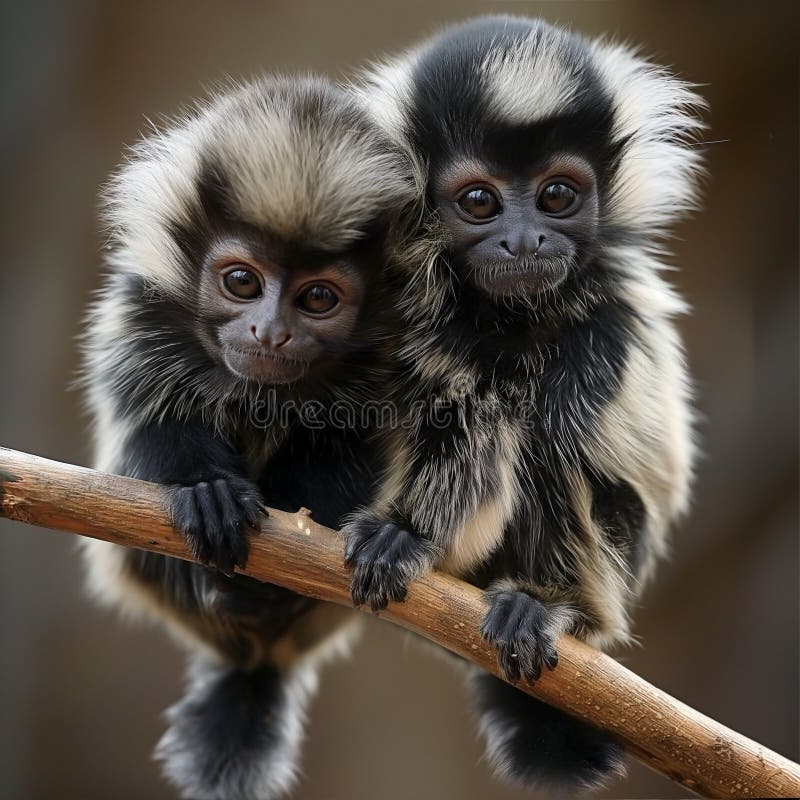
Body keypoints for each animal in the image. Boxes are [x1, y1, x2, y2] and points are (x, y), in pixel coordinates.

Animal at [79, 75, 419, 800]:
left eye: (317, 298)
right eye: (242, 281)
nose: (270, 332)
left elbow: (351, 457)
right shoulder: (143, 313)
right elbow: (147, 424)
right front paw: (205, 491)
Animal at [345, 15, 705, 792]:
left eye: (557, 196)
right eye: (480, 202)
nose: (524, 239)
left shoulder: (604, 324)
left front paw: (409, 534)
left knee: (549, 439)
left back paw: (549, 606)